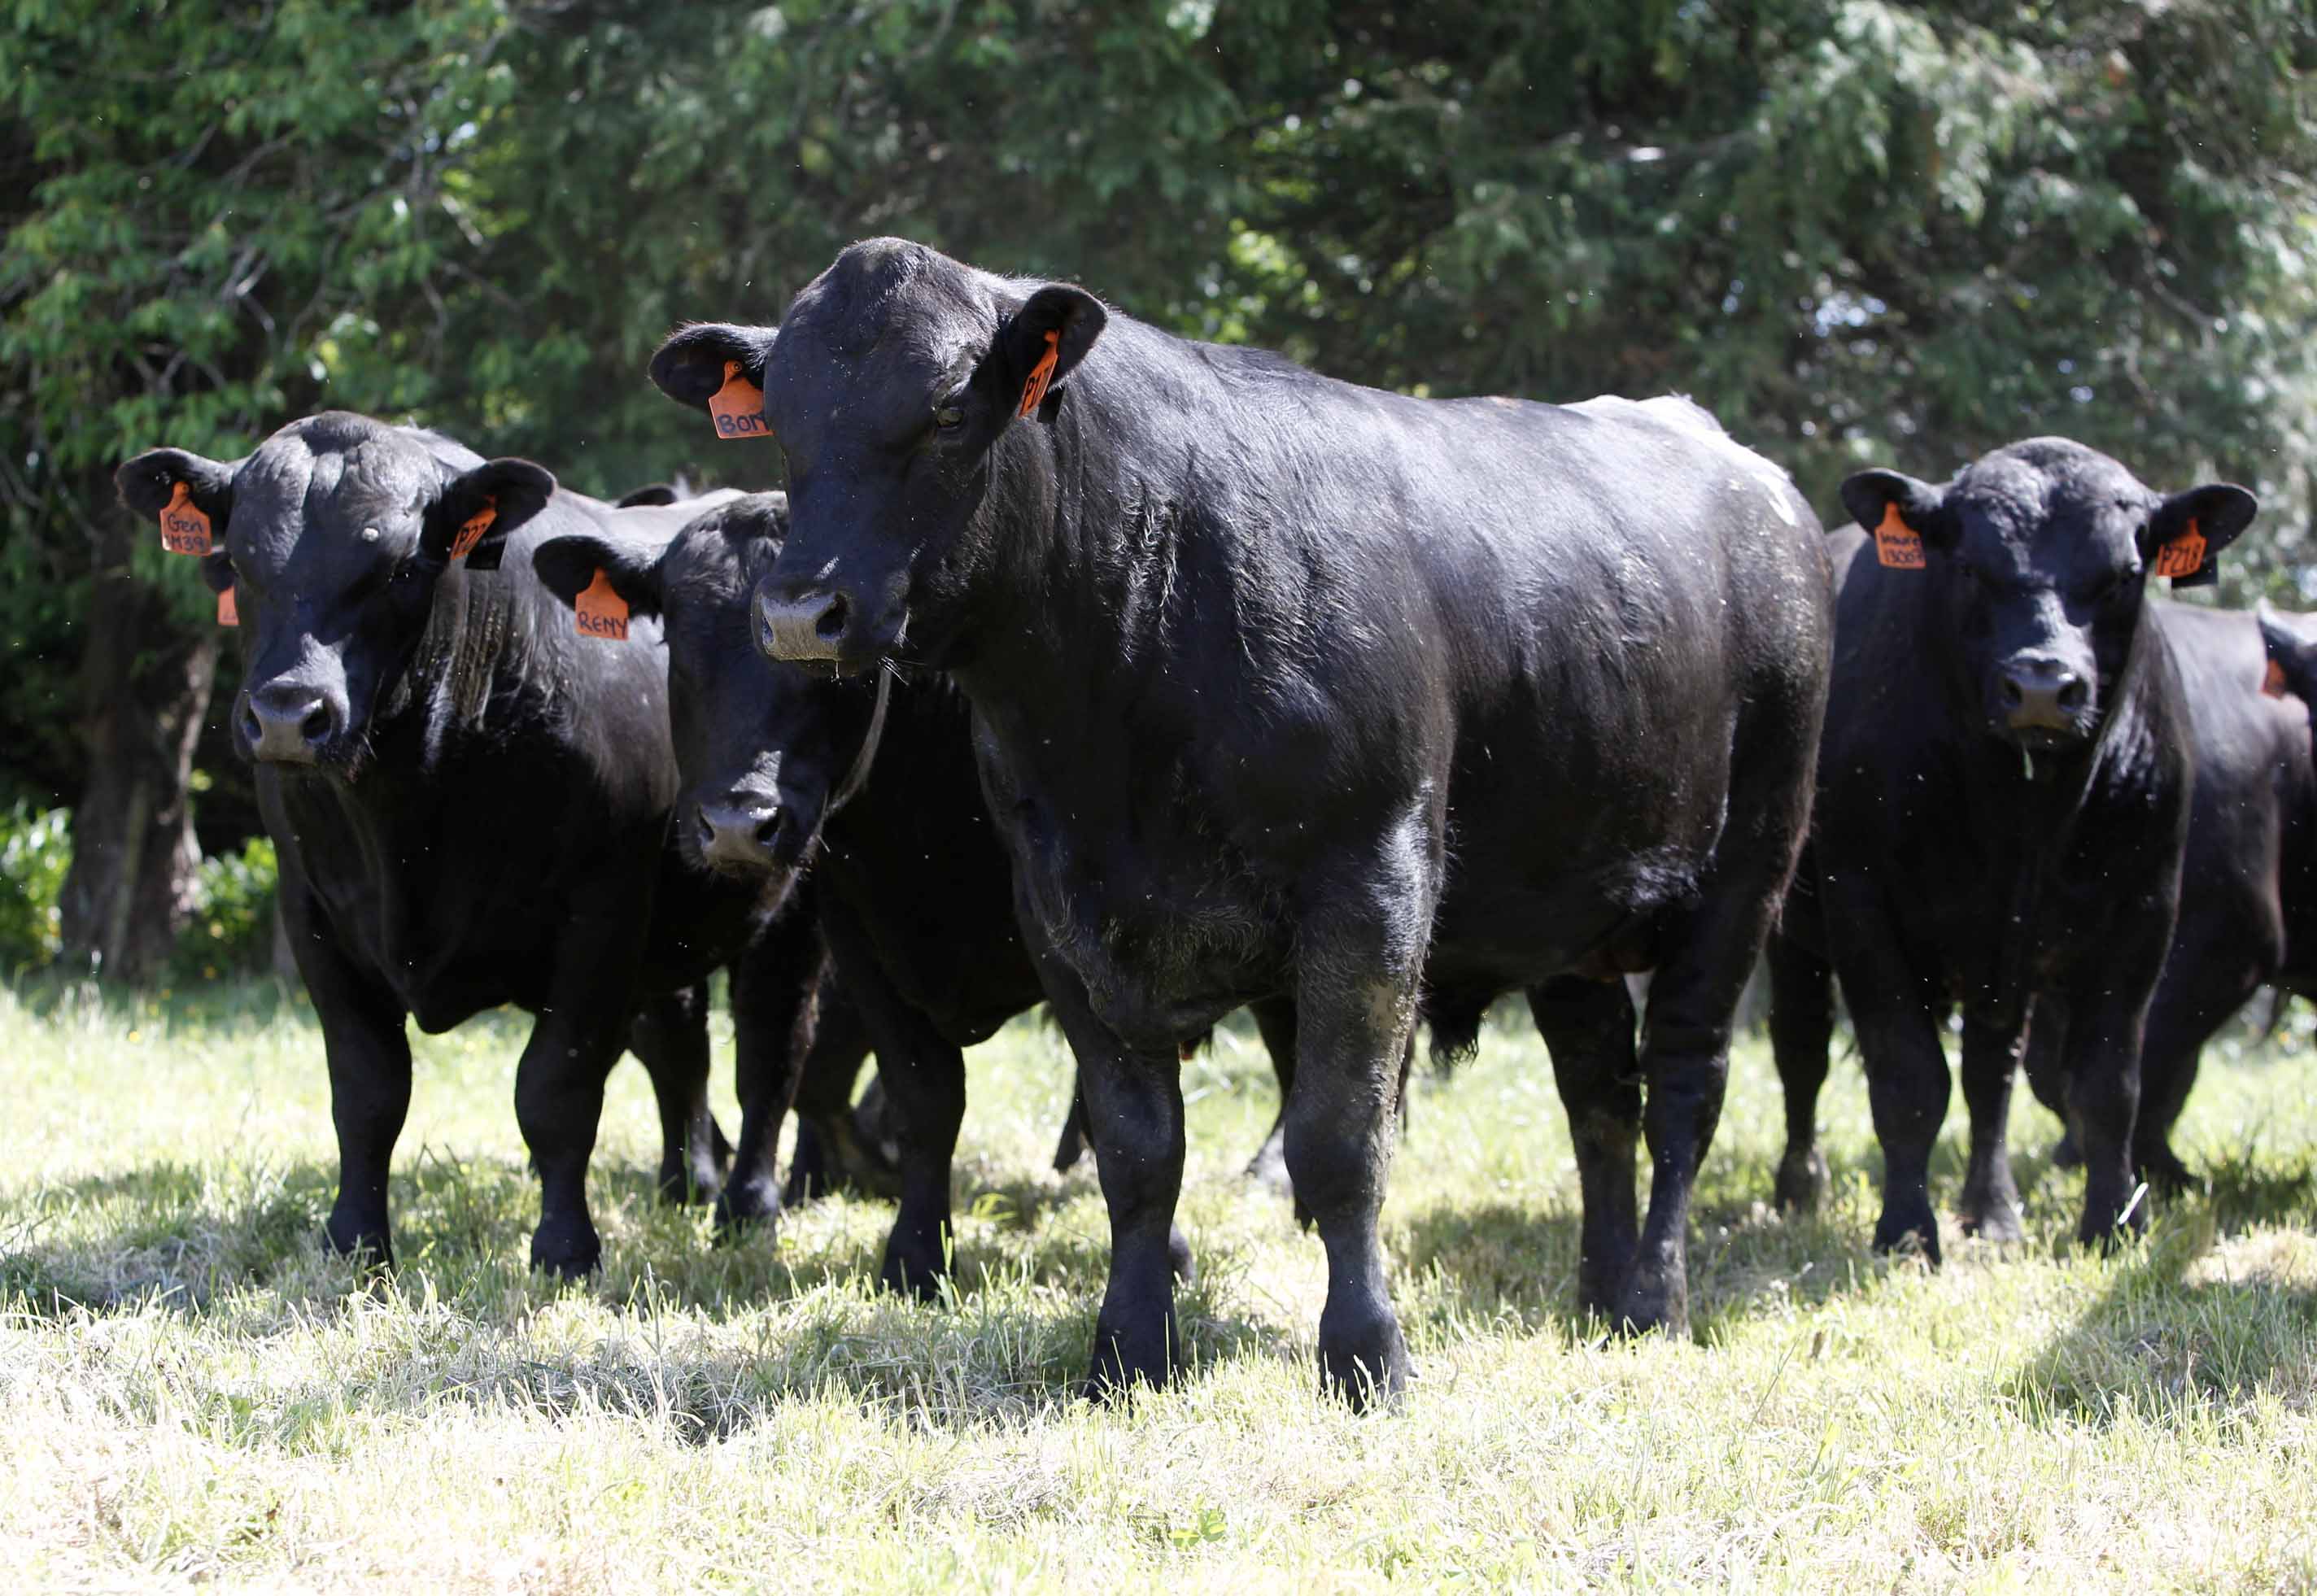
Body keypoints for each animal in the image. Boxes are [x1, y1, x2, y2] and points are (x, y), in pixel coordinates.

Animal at [114, 414, 845, 1277]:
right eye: (238, 562)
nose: (290, 714)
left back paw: (747, 1206)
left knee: (771, 1049)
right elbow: (367, 1090)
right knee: (679, 1044)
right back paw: (686, 1182)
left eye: (401, 567)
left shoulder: (600, 917)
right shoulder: (313, 913)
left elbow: (556, 1090)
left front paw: (565, 1249)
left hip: (789, 901)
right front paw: (354, 1240)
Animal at [526, 490, 1298, 1293]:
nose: (739, 825)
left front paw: (1167, 1256)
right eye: (678, 633)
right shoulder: (860, 936)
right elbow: (925, 1096)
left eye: (831, 646)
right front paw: (917, 1255)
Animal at [643, 237, 1834, 1404]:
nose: (800, 611)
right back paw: (1600, 1288)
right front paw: (1128, 1348)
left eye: (943, 409)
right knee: (1598, 1097)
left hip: (1745, 870)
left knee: (1683, 1087)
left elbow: (1339, 1138)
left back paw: (1654, 1300)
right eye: (782, 420)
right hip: (1566, 908)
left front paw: (1365, 1352)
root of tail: (1752, 476)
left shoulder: (1370, 884)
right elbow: (1136, 1150)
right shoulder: (1061, 909)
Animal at [1767, 441, 2257, 1261]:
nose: (2040, 686)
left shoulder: (2142, 912)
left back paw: (1991, 1209)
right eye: (1969, 566)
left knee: (1991, 1075)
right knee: (1799, 1050)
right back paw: (1800, 1187)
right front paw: (1907, 1231)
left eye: (2125, 573)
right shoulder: (1863, 904)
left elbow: (2108, 1085)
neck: (2023, 817)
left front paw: (2114, 1222)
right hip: (1791, 932)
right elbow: (1907, 1079)